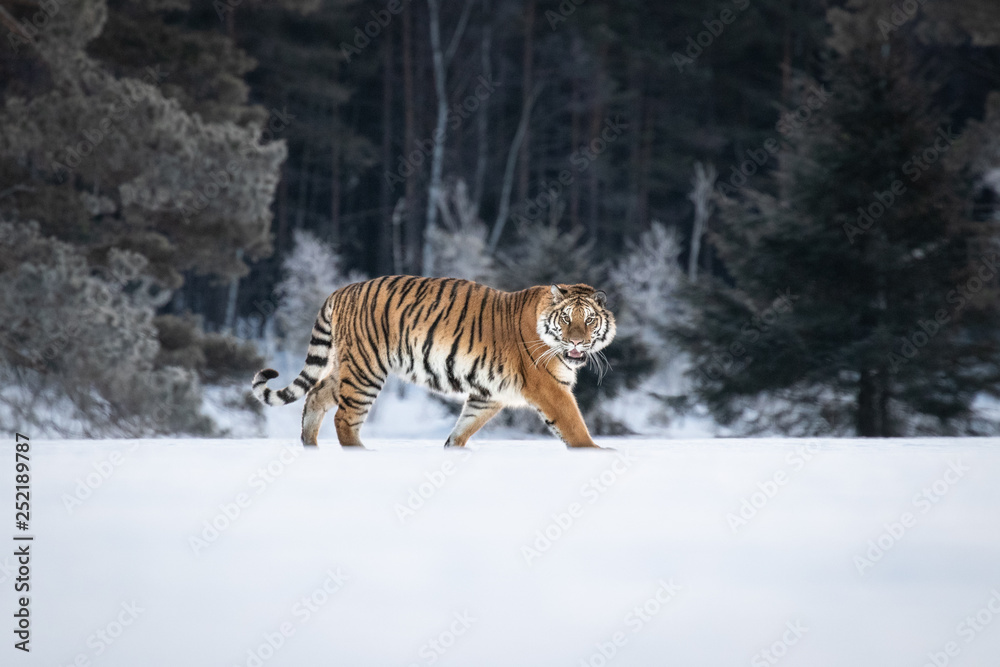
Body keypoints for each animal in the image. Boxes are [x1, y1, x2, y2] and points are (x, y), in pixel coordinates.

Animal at [251, 275, 616, 449]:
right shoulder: (549, 388)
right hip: (366, 369)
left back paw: (310, 448)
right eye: (567, 318)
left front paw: (453, 449)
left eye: (589, 320)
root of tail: (342, 290)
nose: (577, 341)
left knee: (316, 395)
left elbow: (465, 426)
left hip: (346, 366)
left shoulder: (490, 394)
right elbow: (573, 424)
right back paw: (362, 455)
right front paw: (597, 452)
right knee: (345, 417)